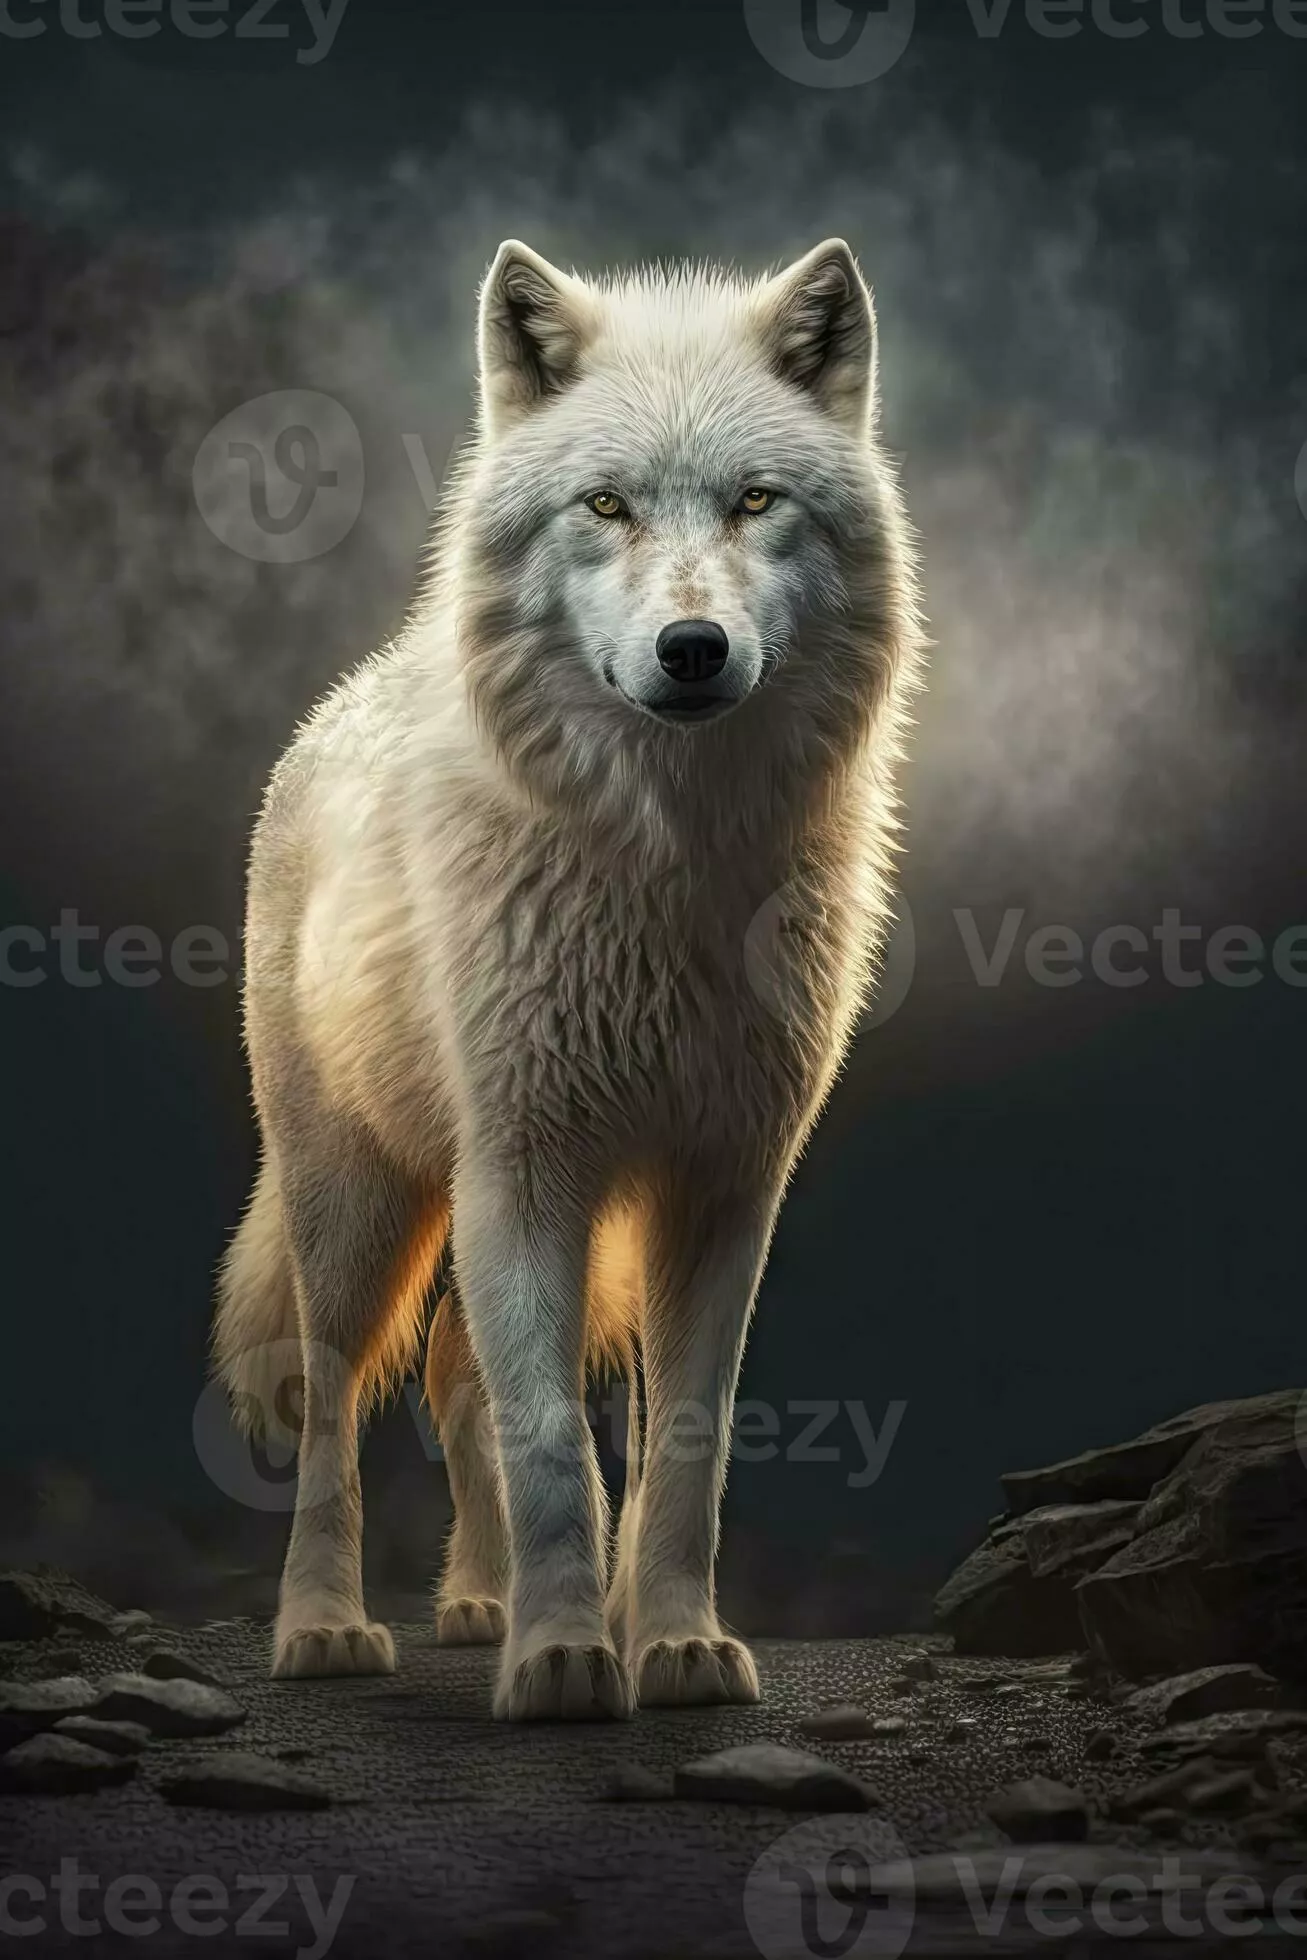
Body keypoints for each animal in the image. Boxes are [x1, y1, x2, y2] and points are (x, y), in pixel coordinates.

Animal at [212, 236, 923, 1720]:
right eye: (605, 505)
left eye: (754, 500)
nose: (692, 650)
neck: (666, 862)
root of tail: (328, 713)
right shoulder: (526, 1167)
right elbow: (554, 1448)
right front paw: (559, 1662)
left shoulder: (718, 1187)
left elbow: (681, 1450)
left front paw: (672, 1647)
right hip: (360, 1203)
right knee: (338, 1403)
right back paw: (327, 1629)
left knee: (450, 1371)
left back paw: (473, 1607)